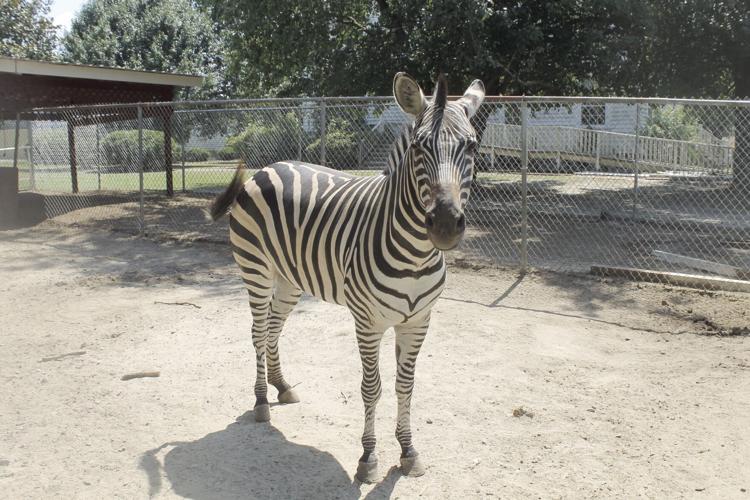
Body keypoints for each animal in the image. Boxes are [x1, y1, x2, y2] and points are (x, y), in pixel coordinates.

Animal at [210, 72, 485, 483]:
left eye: (471, 145)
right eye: (419, 148)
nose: (446, 225)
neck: (417, 255)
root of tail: (268, 167)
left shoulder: (418, 321)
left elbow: (406, 386)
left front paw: (408, 451)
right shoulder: (368, 322)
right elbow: (372, 388)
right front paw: (368, 457)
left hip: (289, 278)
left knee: (274, 328)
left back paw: (282, 386)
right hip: (254, 267)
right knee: (258, 332)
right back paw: (261, 401)